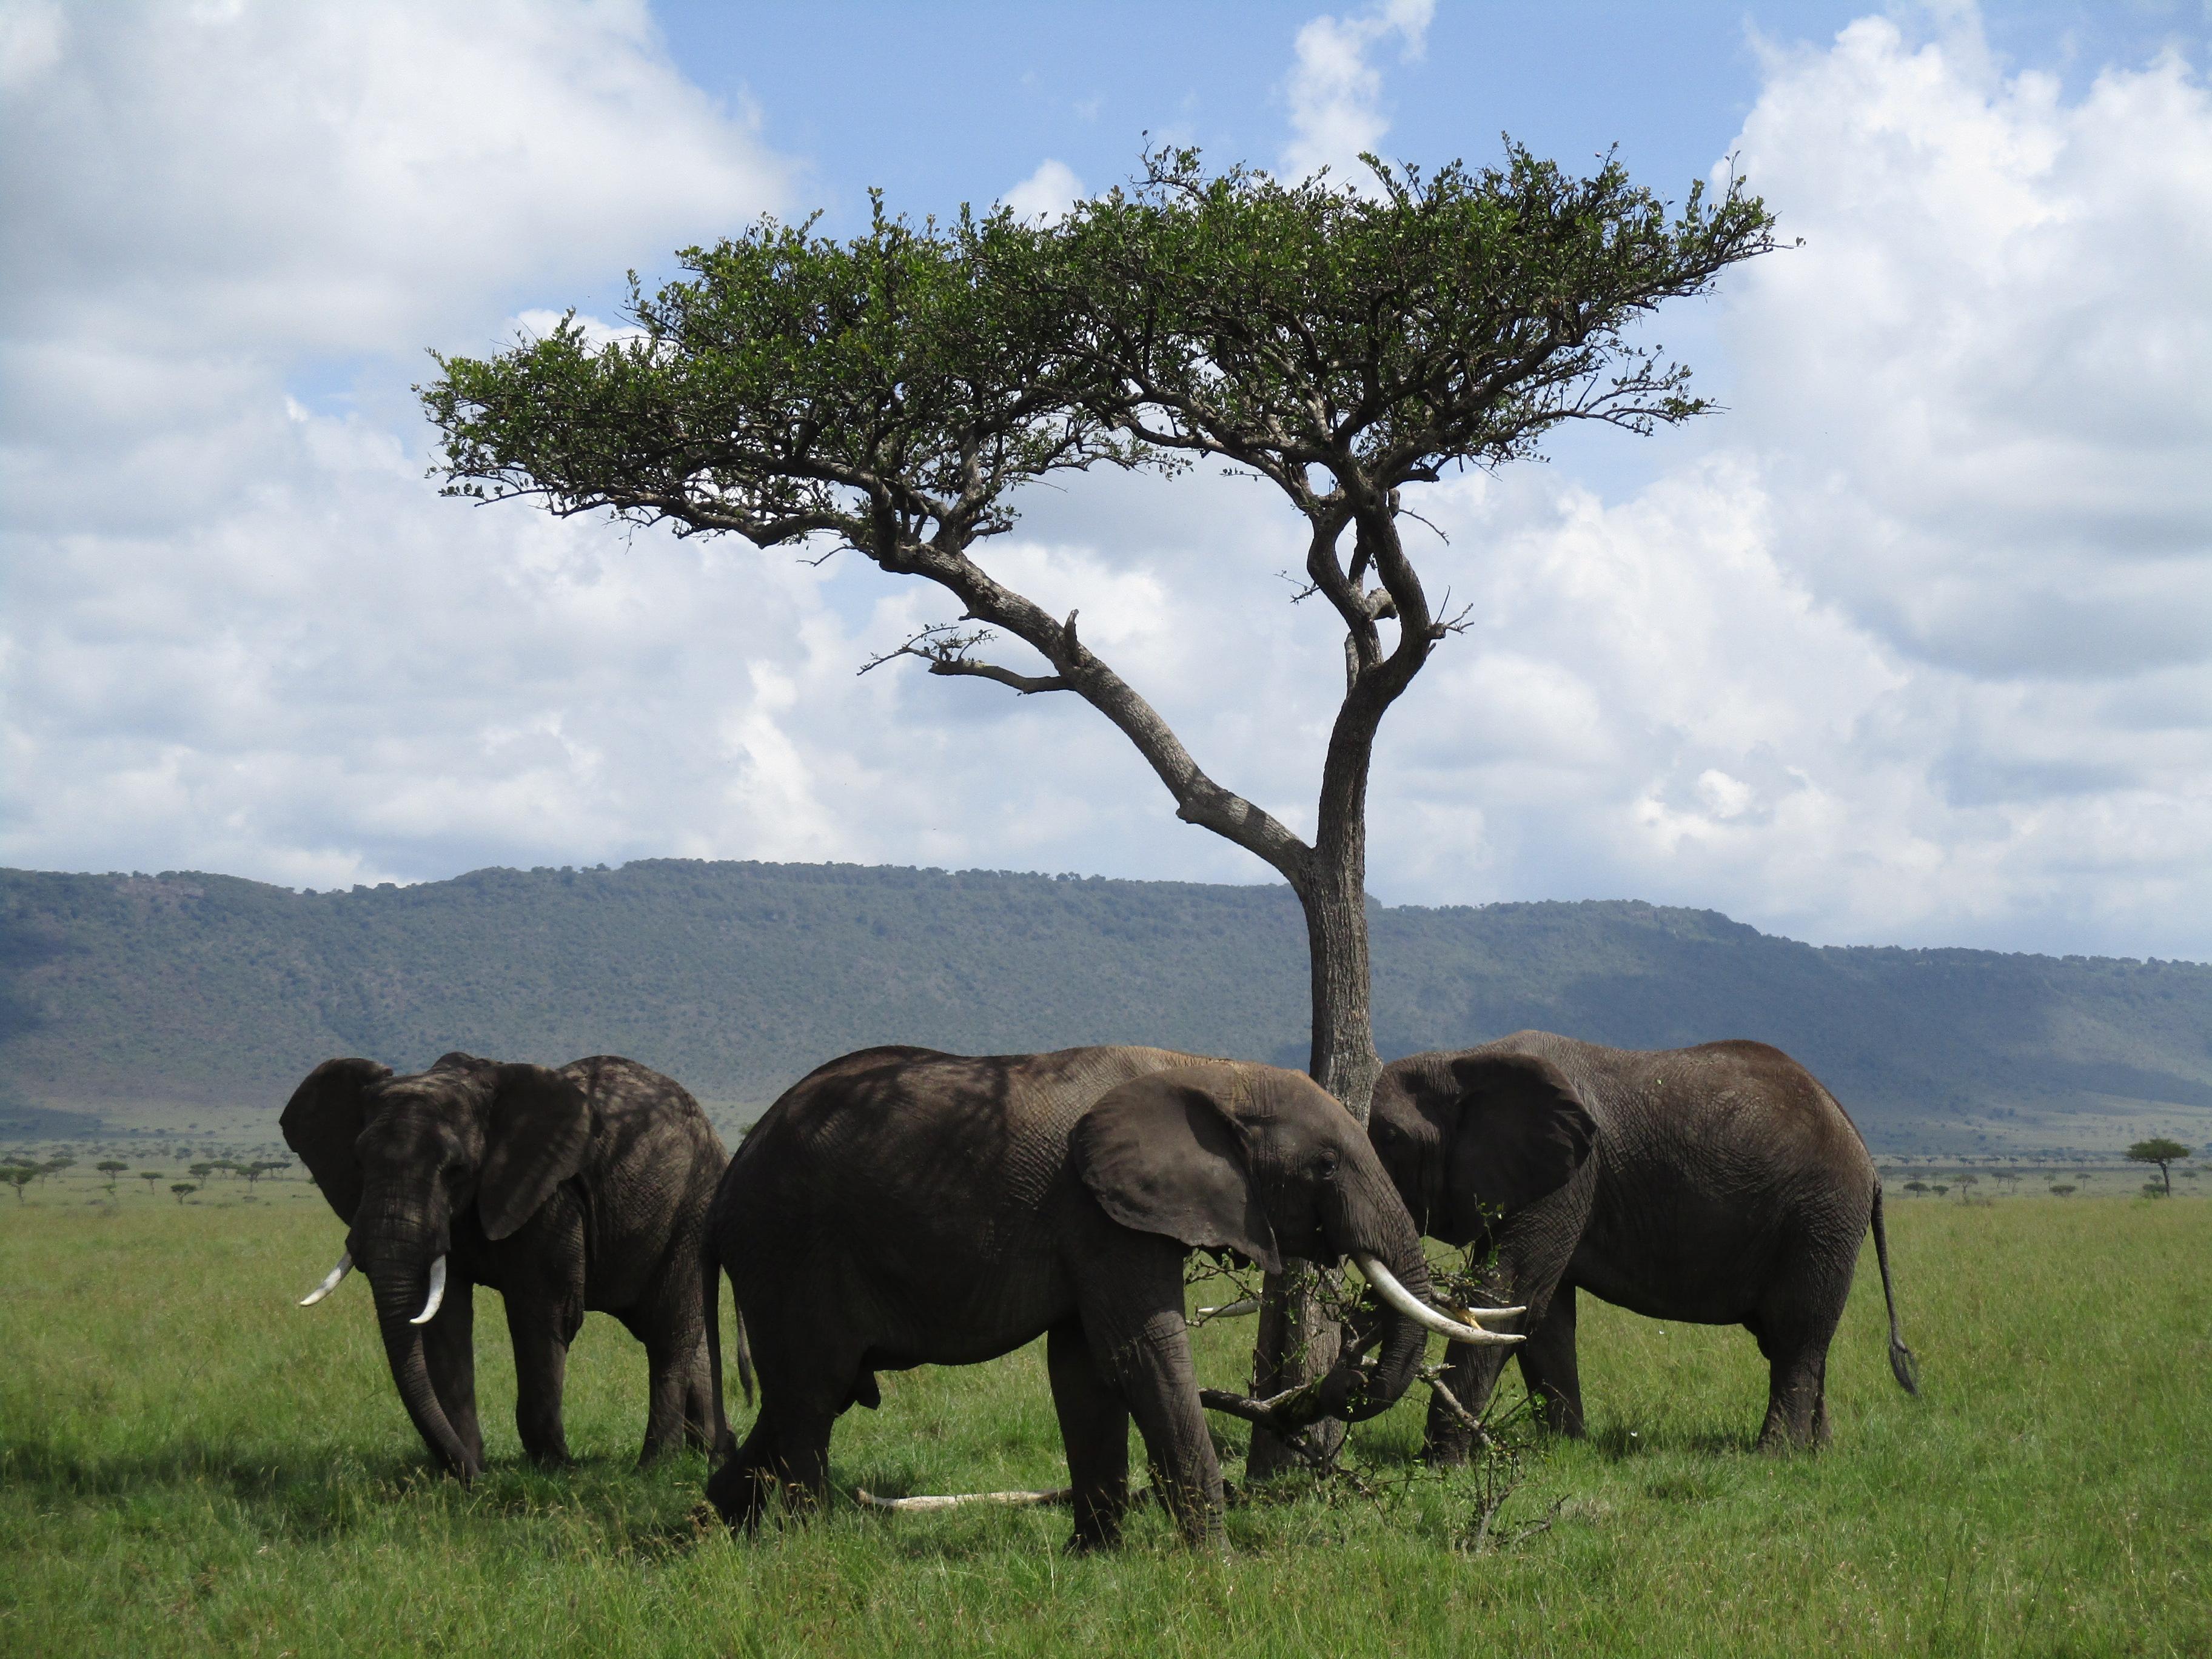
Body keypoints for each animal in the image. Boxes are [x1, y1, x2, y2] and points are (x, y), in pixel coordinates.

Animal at [282, 1050, 729, 1480]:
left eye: (455, 1169)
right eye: (359, 1163)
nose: (480, 1477)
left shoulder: (550, 1197)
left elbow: (544, 1314)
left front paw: (555, 1470)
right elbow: (445, 1320)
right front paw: (463, 1473)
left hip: (693, 1209)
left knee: (668, 1333)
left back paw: (654, 1467)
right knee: (686, 1334)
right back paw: (709, 1455)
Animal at [702, 1045, 1542, 1550]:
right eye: (1328, 1168)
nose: (1348, 1374)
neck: (1208, 1071)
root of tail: (728, 1176)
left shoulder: (1098, 1220)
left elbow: (1083, 1369)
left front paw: (1095, 1558)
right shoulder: (1100, 1208)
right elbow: (1143, 1352)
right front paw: (1217, 1564)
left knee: (800, 1397)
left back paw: (717, 1530)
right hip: (789, 1250)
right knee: (812, 1393)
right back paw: (805, 1546)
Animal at [1366, 1032, 1918, 1456]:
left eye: (1390, 1138)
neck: (1463, 1058)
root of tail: (1867, 1157)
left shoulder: (1570, 1180)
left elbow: (1507, 1294)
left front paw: (1442, 1464)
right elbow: (1541, 1314)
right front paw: (1567, 1451)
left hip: (1821, 1217)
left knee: (1795, 1336)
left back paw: (1771, 1458)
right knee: (1796, 1341)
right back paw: (1817, 1455)